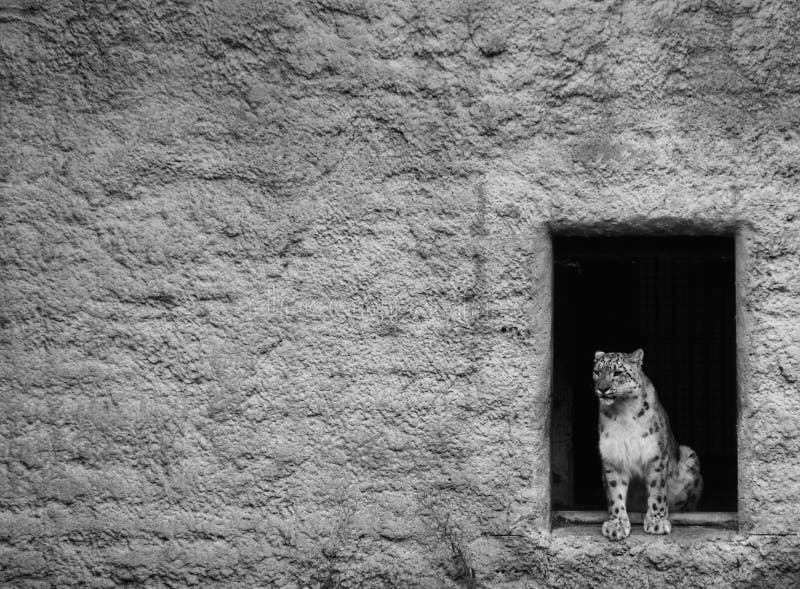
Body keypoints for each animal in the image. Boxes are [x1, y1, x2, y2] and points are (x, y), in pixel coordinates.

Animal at [593, 349, 703, 540]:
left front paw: (656, 522)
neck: (622, 411)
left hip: (689, 456)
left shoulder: (655, 455)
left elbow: (657, 490)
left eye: (618, 373)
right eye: (597, 372)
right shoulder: (612, 456)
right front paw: (617, 525)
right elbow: (615, 493)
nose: (602, 388)